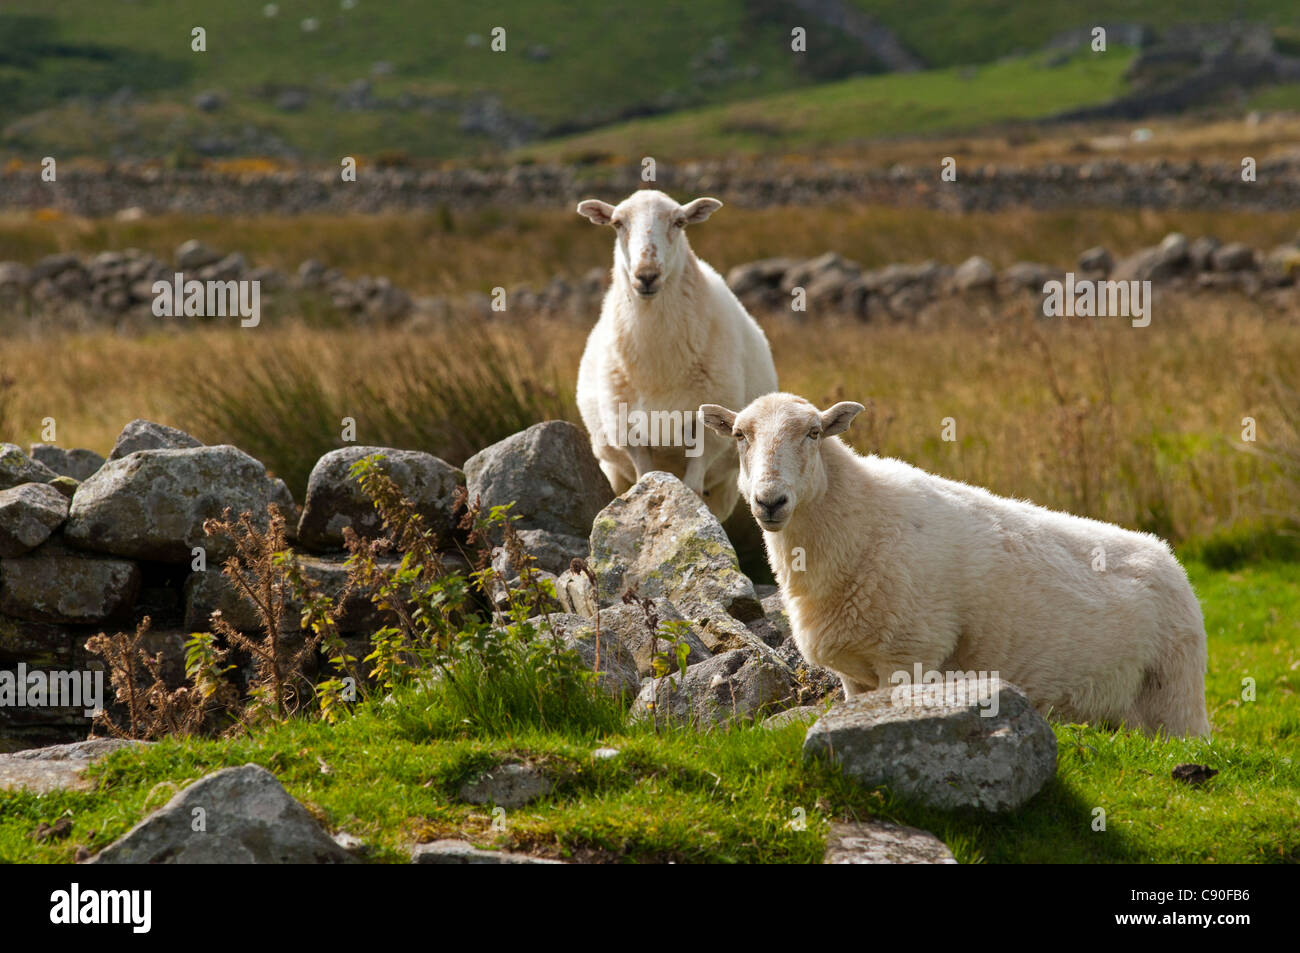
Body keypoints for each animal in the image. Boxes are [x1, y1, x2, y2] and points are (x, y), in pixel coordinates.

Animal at [575, 189, 777, 521]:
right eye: (617, 223)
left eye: (679, 222)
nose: (646, 275)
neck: (658, 367)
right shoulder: (629, 433)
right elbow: (643, 484)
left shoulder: (706, 433)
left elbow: (691, 490)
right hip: (610, 466)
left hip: (727, 482)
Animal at [699, 392, 1211, 737]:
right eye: (740, 436)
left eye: (813, 433)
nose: (770, 501)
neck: (859, 517)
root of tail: (1168, 557)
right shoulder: (853, 675)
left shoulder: (909, 655)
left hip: (1174, 696)